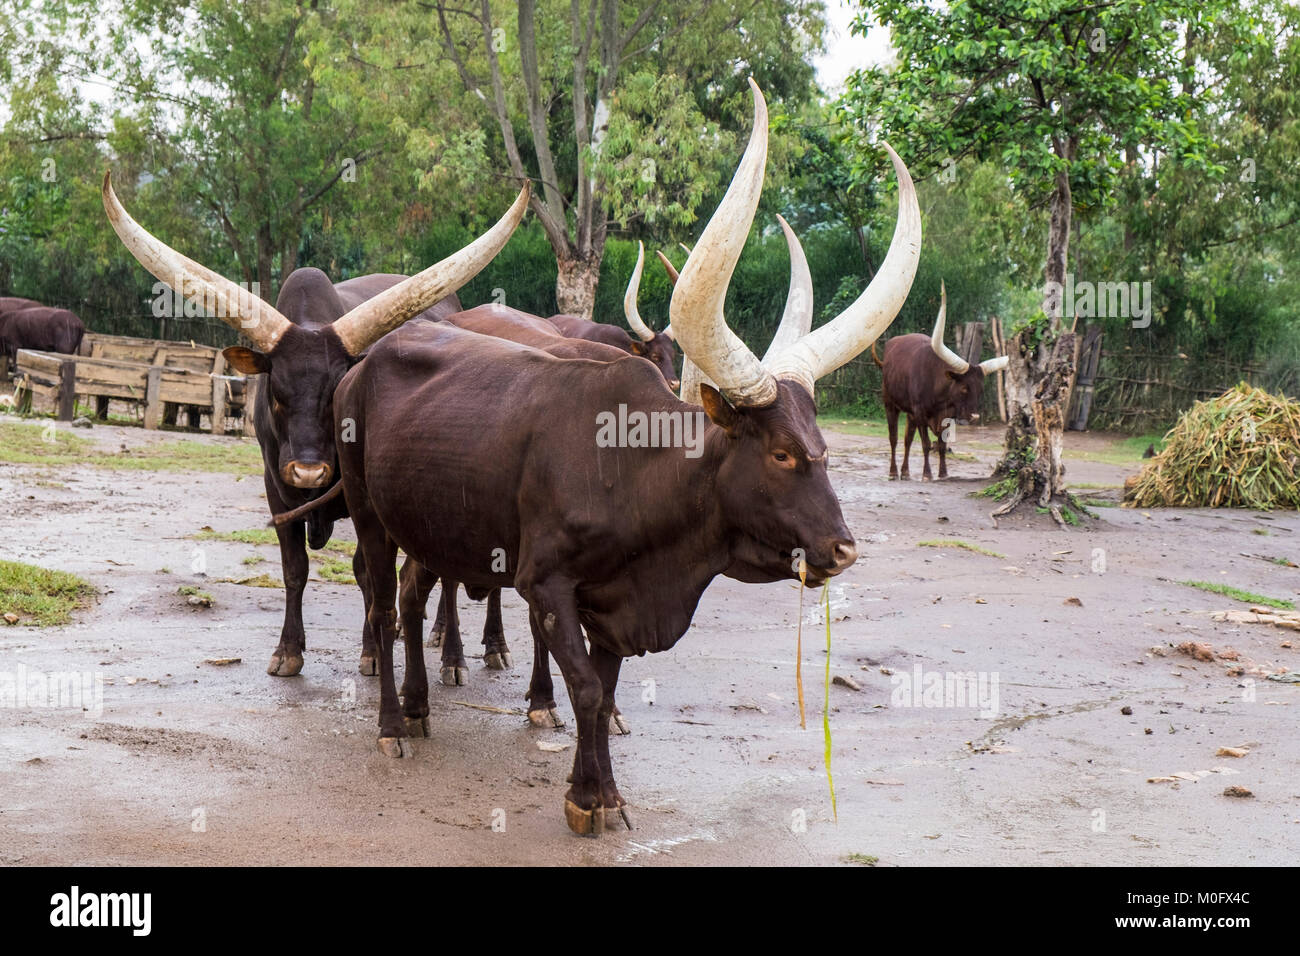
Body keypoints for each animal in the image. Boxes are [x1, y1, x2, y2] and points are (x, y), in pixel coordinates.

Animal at [102, 171, 529, 677]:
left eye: (337, 392)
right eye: (276, 392)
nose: (309, 472)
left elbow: (366, 572)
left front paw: (371, 653)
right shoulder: (276, 487)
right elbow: (295, 569)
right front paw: (288, 650)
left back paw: (471, 651)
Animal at [316, 80, 921, 834]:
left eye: (824, 449)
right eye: (782, 454)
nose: (843, 550)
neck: (635, 470)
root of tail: (367, 361)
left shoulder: (612, 601)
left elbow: (602, 692)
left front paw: (595, 793)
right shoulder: (547, 584)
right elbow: (583, 690)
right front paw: (591, 800)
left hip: (432, 525)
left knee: (408, 593)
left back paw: (423, 708)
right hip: (370, 515)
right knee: (382, 609)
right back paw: (393, 727)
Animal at [872, 283, 1008, 481]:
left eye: (981, 390)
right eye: (964, 388)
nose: (974, 417)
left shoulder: (946, 416)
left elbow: (942, 445)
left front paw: (943, 473)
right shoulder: (920, 413)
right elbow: (926, 444)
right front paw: (927, 474)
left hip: (910, 414)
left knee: (907, 440)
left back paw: (905, 472)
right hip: (890, 404)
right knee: (894, 438)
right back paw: (893, 472)